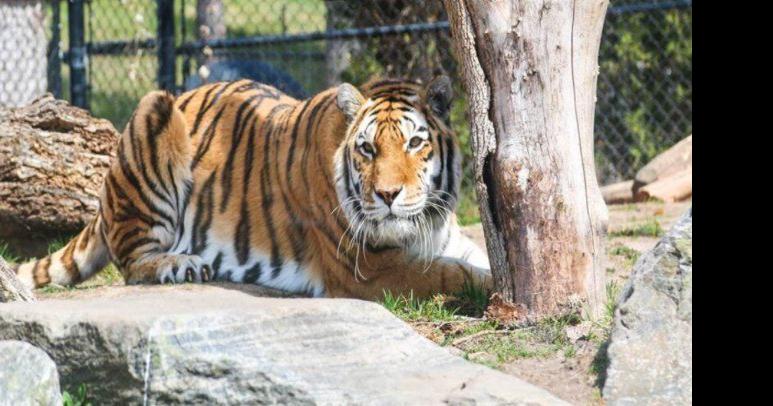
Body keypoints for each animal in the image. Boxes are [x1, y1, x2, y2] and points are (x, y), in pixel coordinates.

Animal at [14, 76, 491, 300]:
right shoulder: (369, 270)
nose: (388, 196)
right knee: (131, 262)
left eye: (415, 143)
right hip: (153, 113)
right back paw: (180, 264)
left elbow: (475, 258)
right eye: (367, 149)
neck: (422, 226)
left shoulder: (443, 239)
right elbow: (454, 274)